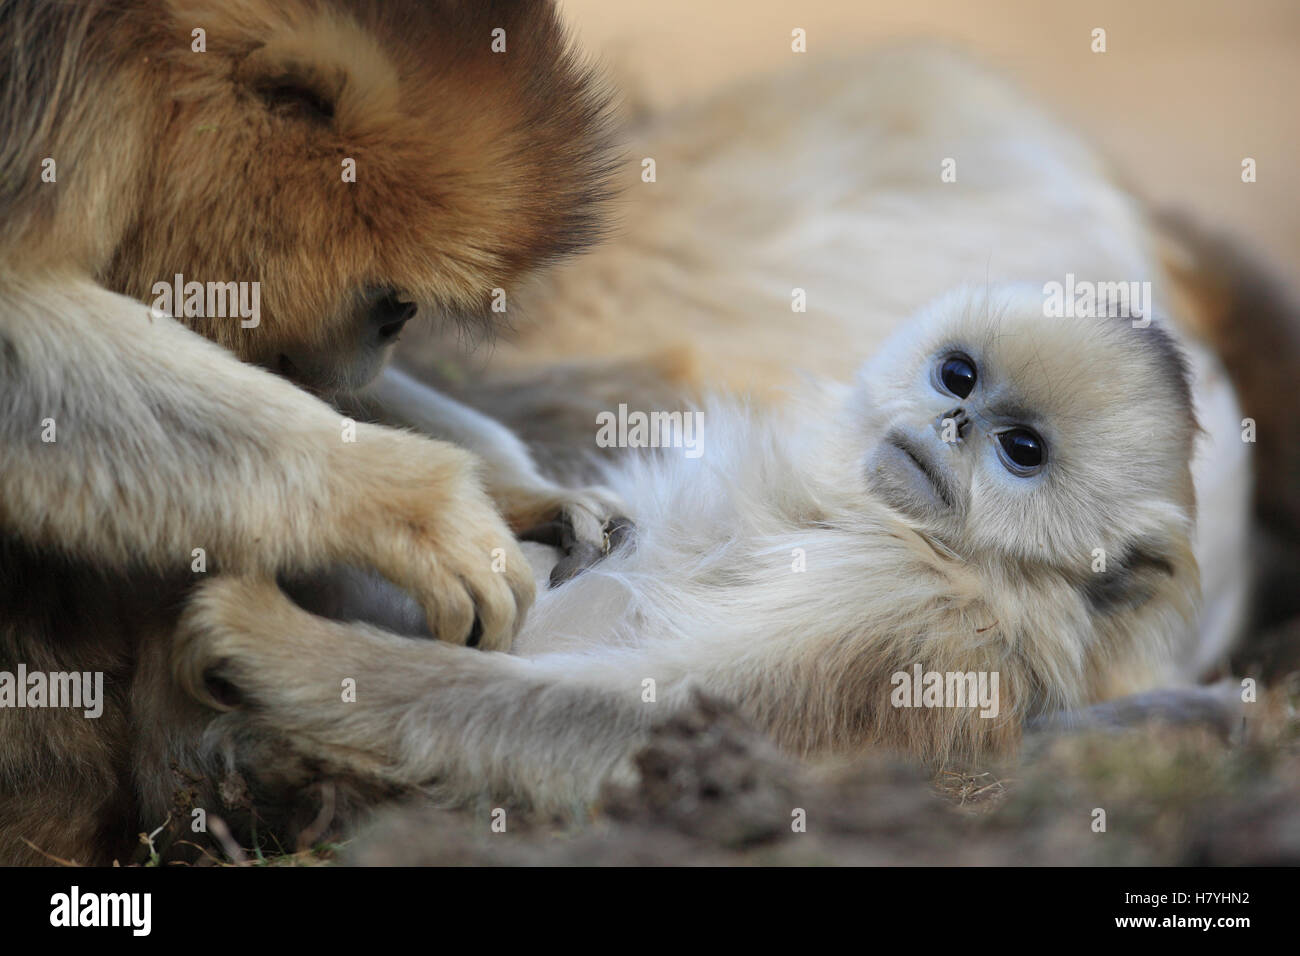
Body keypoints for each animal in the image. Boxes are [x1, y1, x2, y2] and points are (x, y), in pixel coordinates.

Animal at [179, 283, 1205, 816]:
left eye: (1022, 450)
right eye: (958, 375)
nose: (954, 422)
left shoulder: (911, 621)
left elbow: (643, 726)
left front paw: (275, 643)